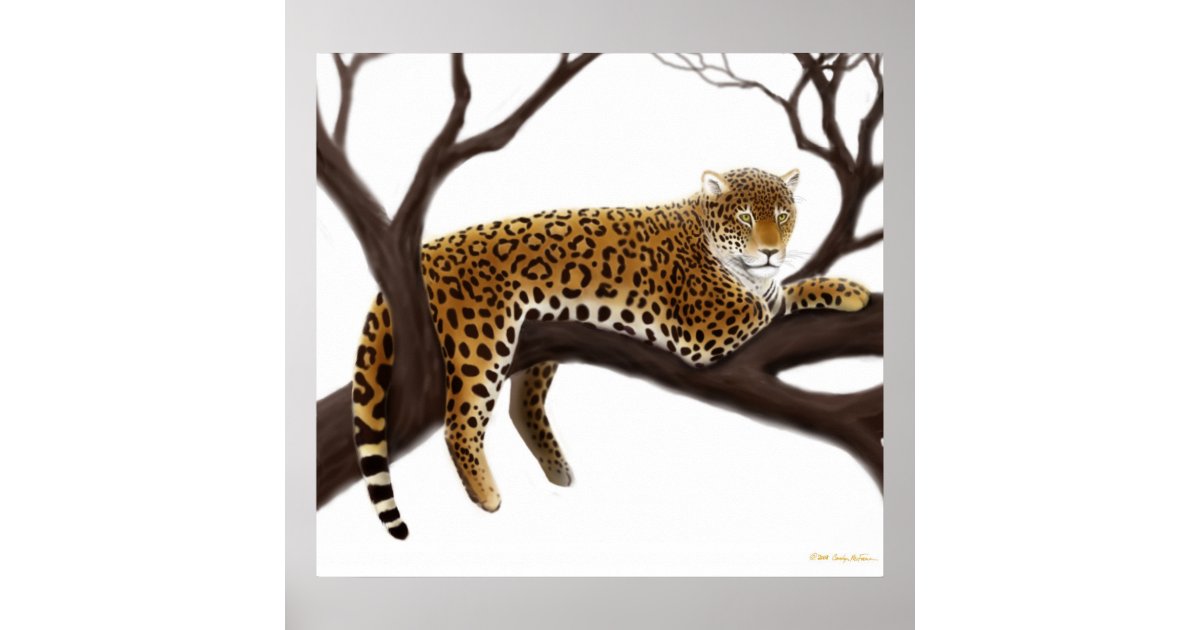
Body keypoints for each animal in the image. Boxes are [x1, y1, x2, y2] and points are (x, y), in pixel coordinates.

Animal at [350, 167, 871, 539]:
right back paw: (488, 495)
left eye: (782, 216)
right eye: (744, 217)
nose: (769, 252)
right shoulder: (705, 328)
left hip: (536, 340)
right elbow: (767, 302)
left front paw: (847, 290)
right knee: (461, 424)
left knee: (521, 406)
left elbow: (786, 291)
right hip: (480, 340)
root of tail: (427, 251)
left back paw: (557, 469)